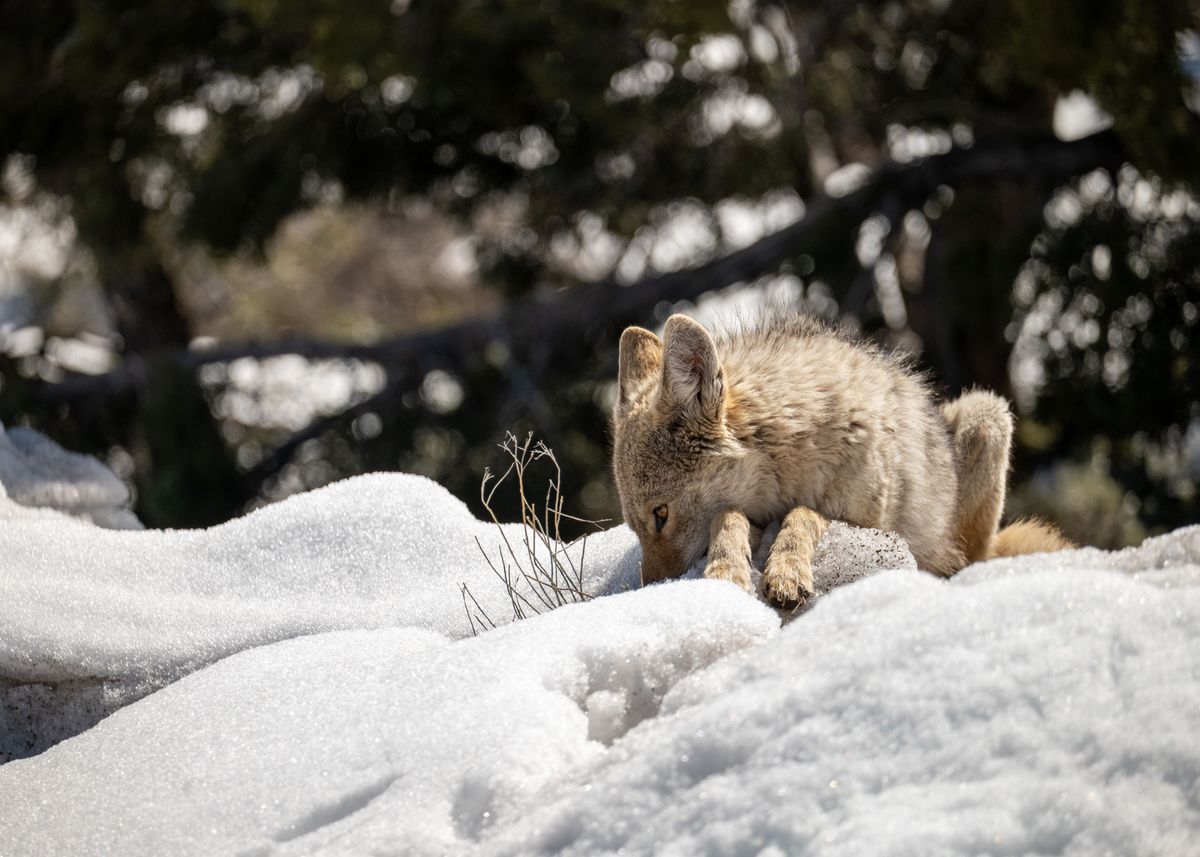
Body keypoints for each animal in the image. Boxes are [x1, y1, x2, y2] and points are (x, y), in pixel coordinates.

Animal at [611, 313, 1071, 608]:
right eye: (636, 527)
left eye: (661, 516)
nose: (652, 590)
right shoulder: (750, 511)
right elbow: (728, 518)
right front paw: (727, 572)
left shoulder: (863, 520)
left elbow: (803, 514)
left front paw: (787, 572)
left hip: (988, 414)